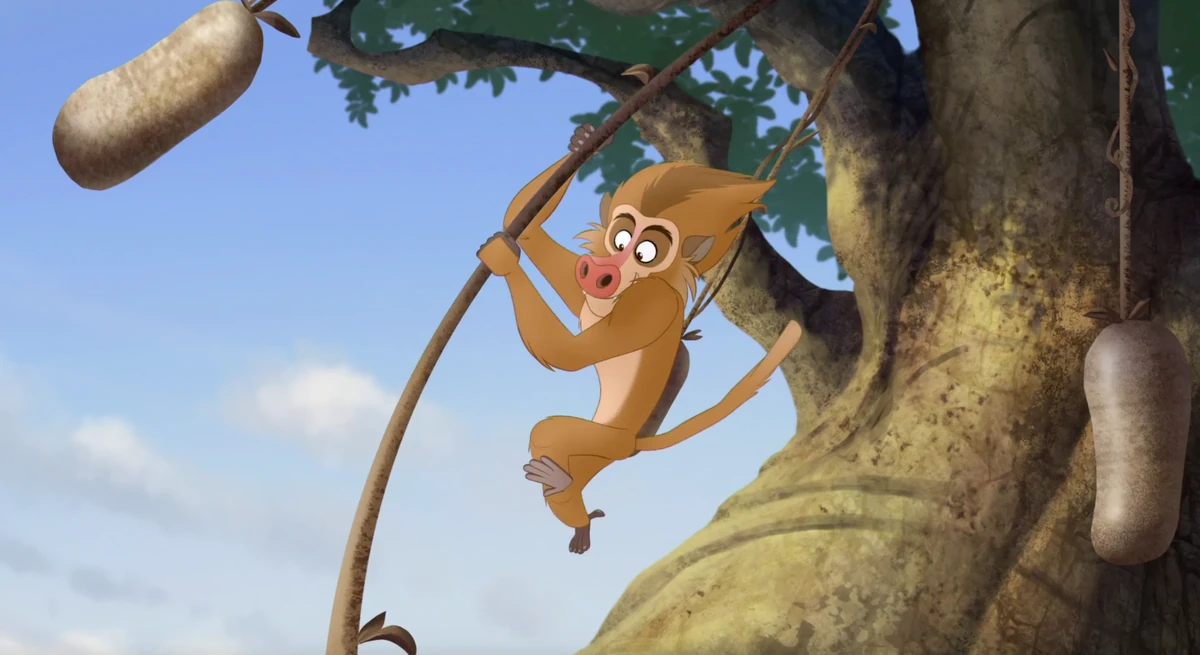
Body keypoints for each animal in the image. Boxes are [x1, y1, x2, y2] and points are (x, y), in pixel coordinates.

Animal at [477, 124, 803, 554]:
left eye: (647, 251)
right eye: (620, 238)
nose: (597, 270)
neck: (637, 284)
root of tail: (634, 443)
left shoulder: (650, 306)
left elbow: (569, 355)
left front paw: (502, 258)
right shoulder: (585, 290)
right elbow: (527, 230)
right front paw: (587, 142)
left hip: (605, 440)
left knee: (549, 434)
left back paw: (564, 489)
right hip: (603, 447)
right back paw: (578, 511)